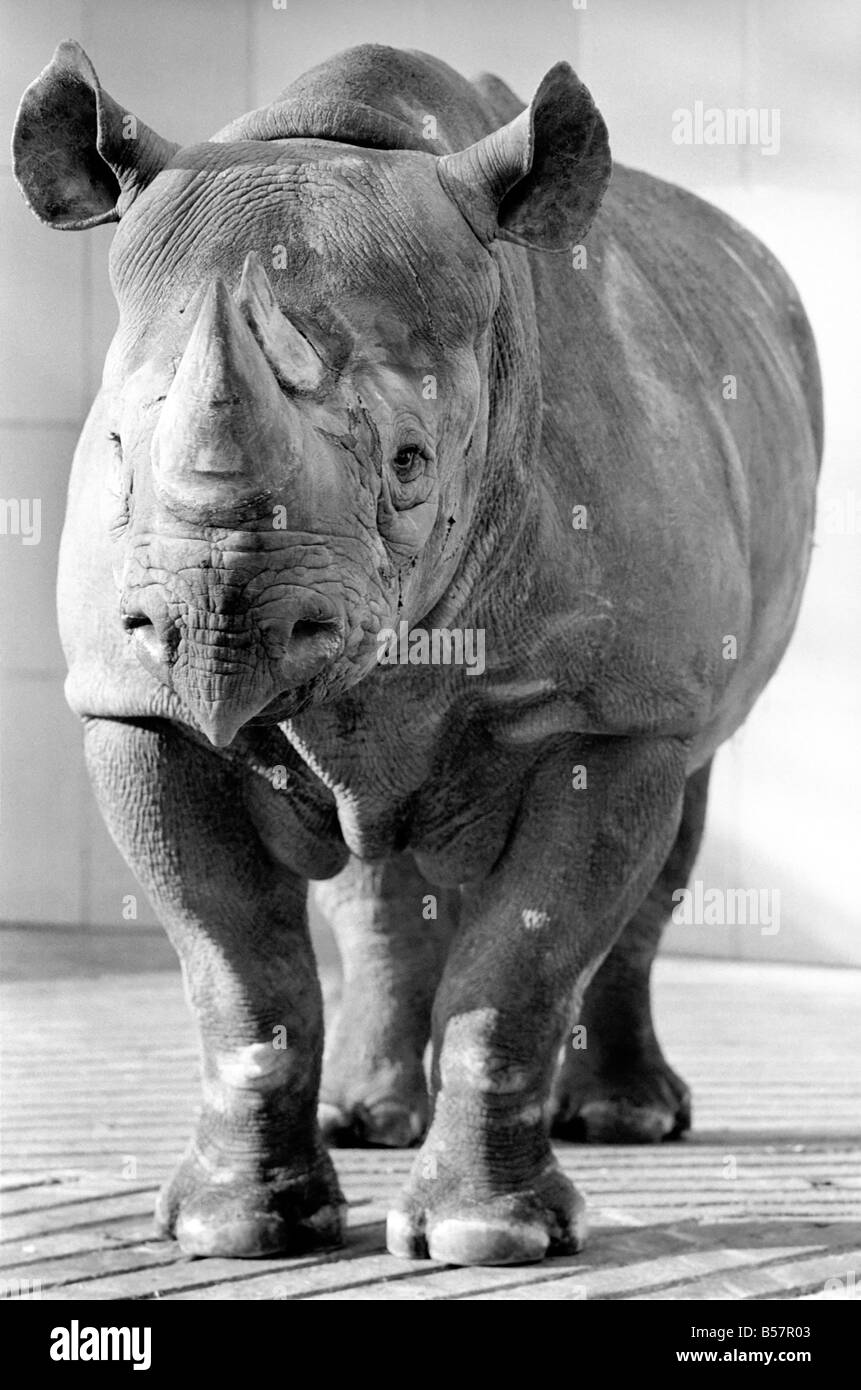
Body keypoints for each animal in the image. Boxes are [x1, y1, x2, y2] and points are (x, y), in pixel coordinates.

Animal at [13, 40, 821, 1267]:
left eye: (410, 463)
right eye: (111, 446)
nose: (214, 636)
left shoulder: (610, 711)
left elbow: (518, 973)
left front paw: (487, 1238)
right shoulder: (132, 706)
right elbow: (241, 972)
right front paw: (234, 1228)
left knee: (685, 802)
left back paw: (626, 1120)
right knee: (375, 881)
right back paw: (370, 1116)